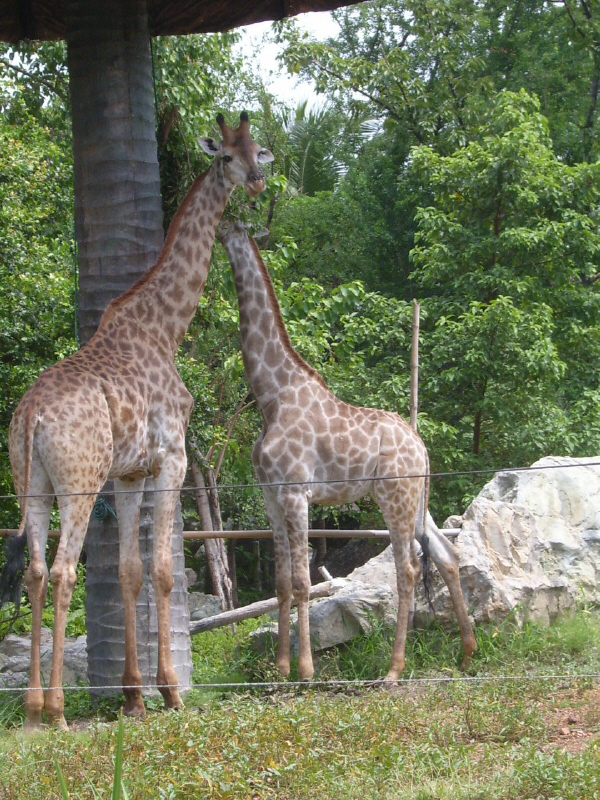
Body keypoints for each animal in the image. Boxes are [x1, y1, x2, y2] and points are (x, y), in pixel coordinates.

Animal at [2, 114, 273, 730]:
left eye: (257, 150)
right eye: (225, 155)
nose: (255, 182)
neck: (166, 328)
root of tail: (31, 416)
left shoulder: (128, 474)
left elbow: (129, 571)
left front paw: (132, 698)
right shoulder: (172, 458)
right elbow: (163, 571)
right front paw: (170, 692)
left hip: (31, 482)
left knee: (34, 571)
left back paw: (30, 708)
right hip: (78, 482)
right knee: (62, 571)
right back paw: (56, 709)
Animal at [218, 222, 477, 683]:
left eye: (228, 225)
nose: (213, 233)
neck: (271, 397)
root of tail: (421, 446)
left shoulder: (296, 492)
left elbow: (303, 582)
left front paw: (305, 670)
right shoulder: (271, 495)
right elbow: (281, 583)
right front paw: (280, 668)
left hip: (393, 496)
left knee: (408, 569)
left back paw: (394, 669)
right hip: (416, 498)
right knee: (447, 556)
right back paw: (466, 654)